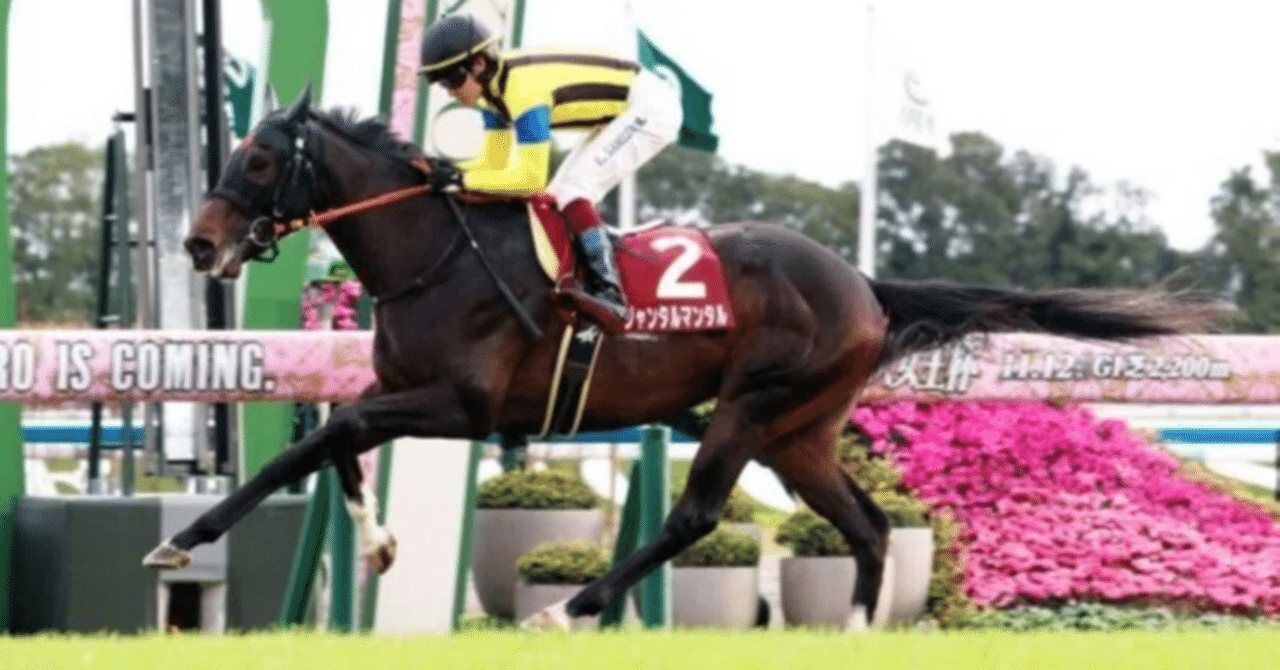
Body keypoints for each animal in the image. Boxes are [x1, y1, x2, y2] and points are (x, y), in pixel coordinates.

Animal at [144, 87, 1225, 629]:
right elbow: (334, 448)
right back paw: (849, 634)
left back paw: (575, 603)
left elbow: (317, 440)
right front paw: (368, 546)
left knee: (700, 513)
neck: (434, 253)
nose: (198, 244)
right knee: (868, 525)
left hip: (754, 405)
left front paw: (184, 539)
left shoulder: (461, 404)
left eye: (259, 158)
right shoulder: (398, 388)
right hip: (801, 433)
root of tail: (864, 285)